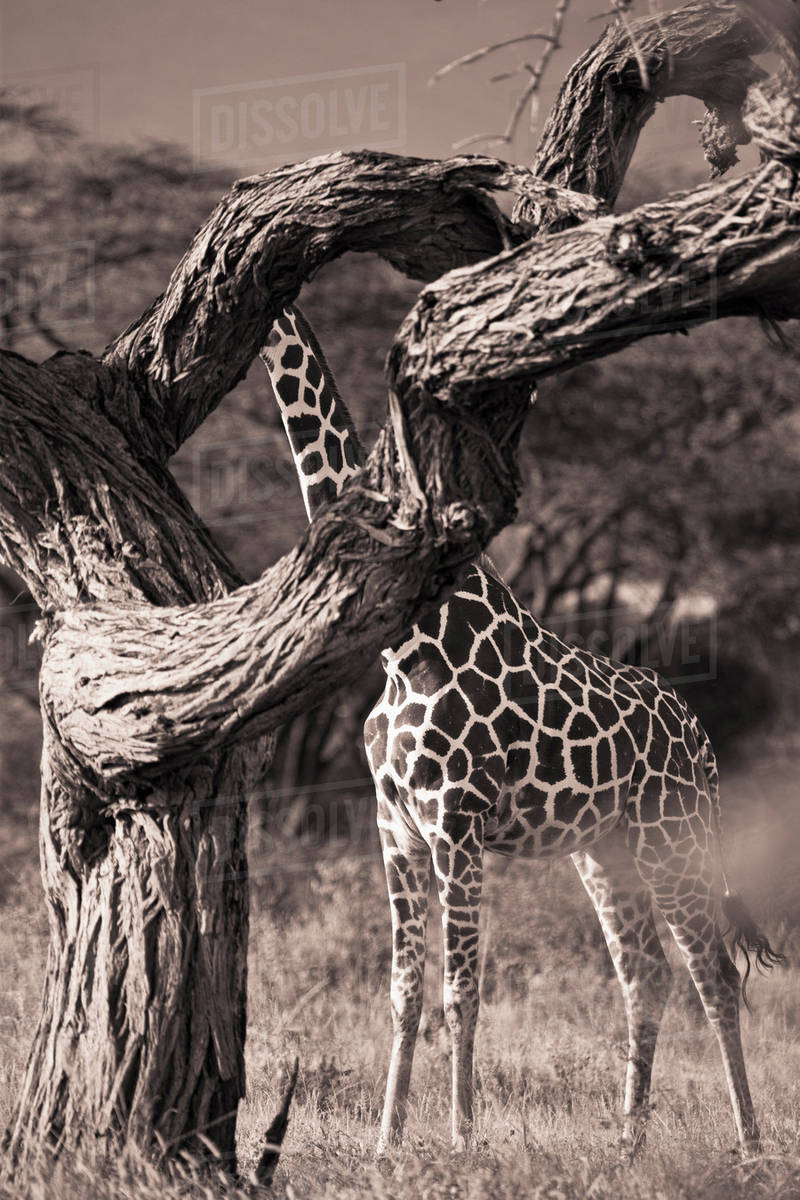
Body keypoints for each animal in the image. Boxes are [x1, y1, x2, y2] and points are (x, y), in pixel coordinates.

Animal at [261, 305, 783, 1156]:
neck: (406, 641)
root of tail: (702, 744)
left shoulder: (457, 822)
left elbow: (461, 991)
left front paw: (461, 1143)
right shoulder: (393, 825)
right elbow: (403, 991)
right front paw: (385, 1147)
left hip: (673, 837)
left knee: (714, 972)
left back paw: (749, 1144)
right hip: (605, 852)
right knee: (646, 974)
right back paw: (627, 1144)